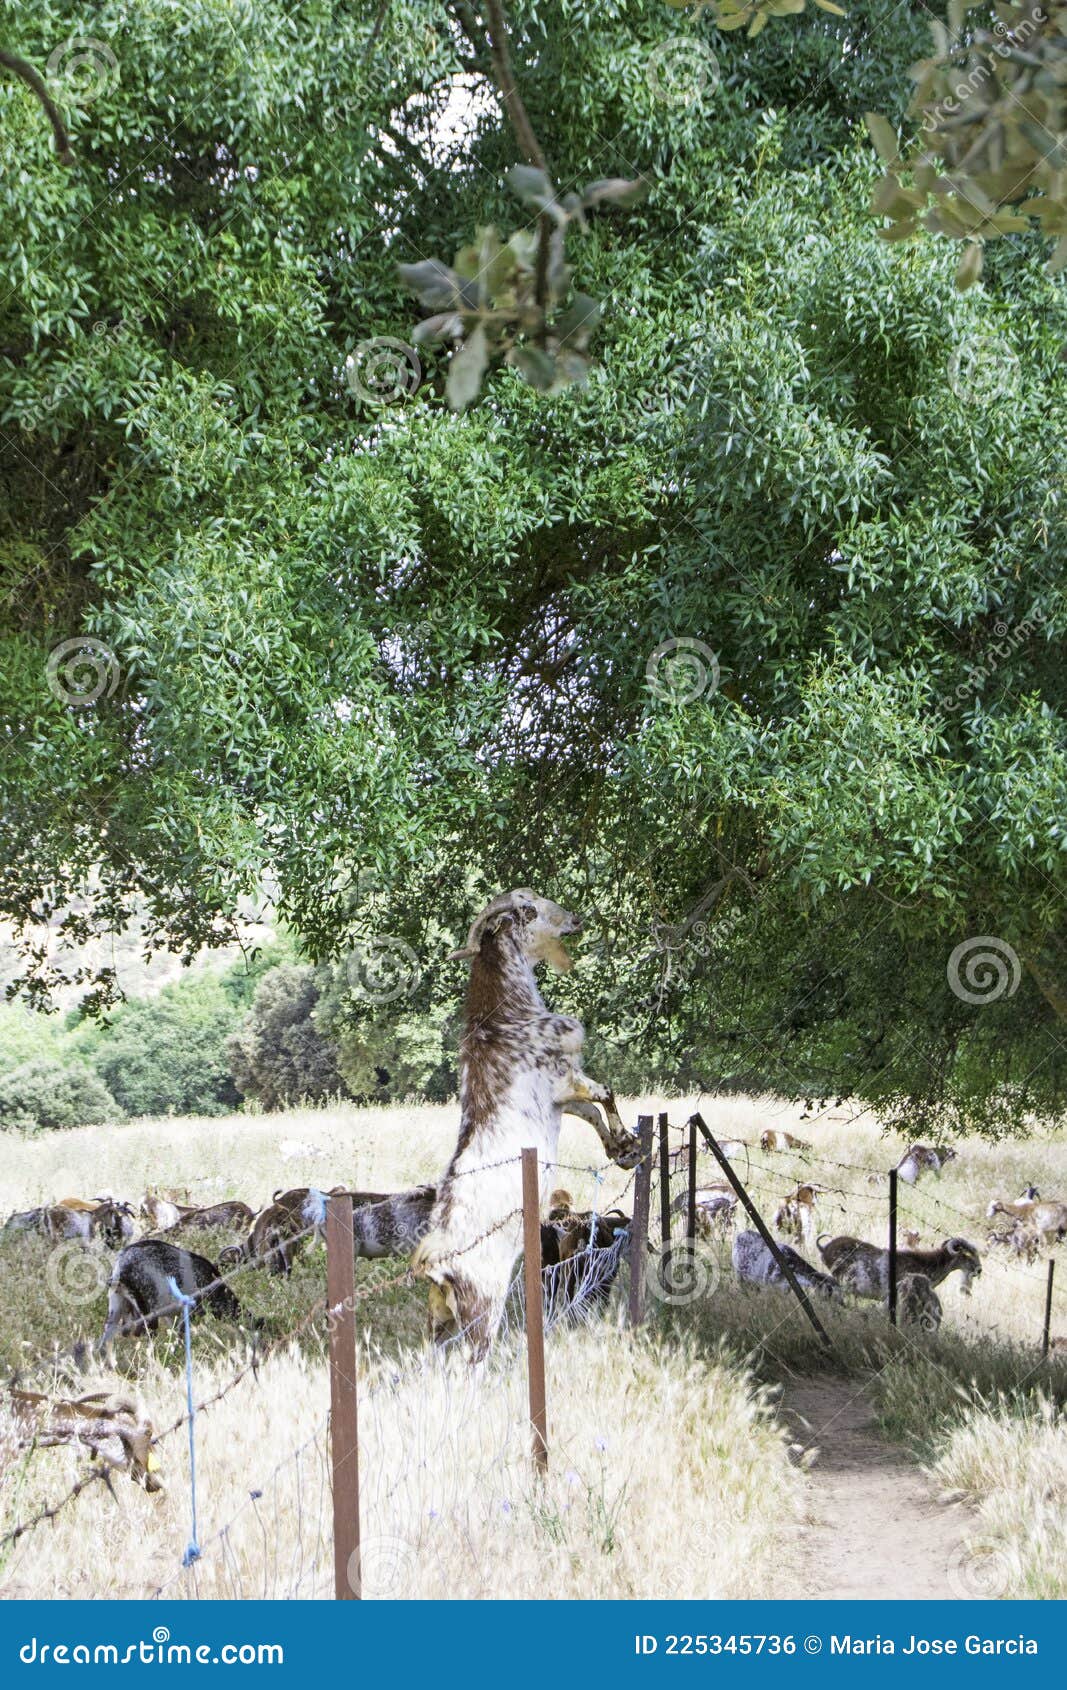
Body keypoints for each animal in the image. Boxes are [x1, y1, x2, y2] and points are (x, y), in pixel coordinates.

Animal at [413, 889, 642, 1361]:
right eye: (527, 911)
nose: (575, 919)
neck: (505, 1015)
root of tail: (435, 1266)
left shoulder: (560, 1100)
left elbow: (592, 1113)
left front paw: (622, 1149)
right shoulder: (565, 1077)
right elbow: (605, 1093)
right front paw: (628, 1147)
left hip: (440, 1321)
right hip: (482, 1309)